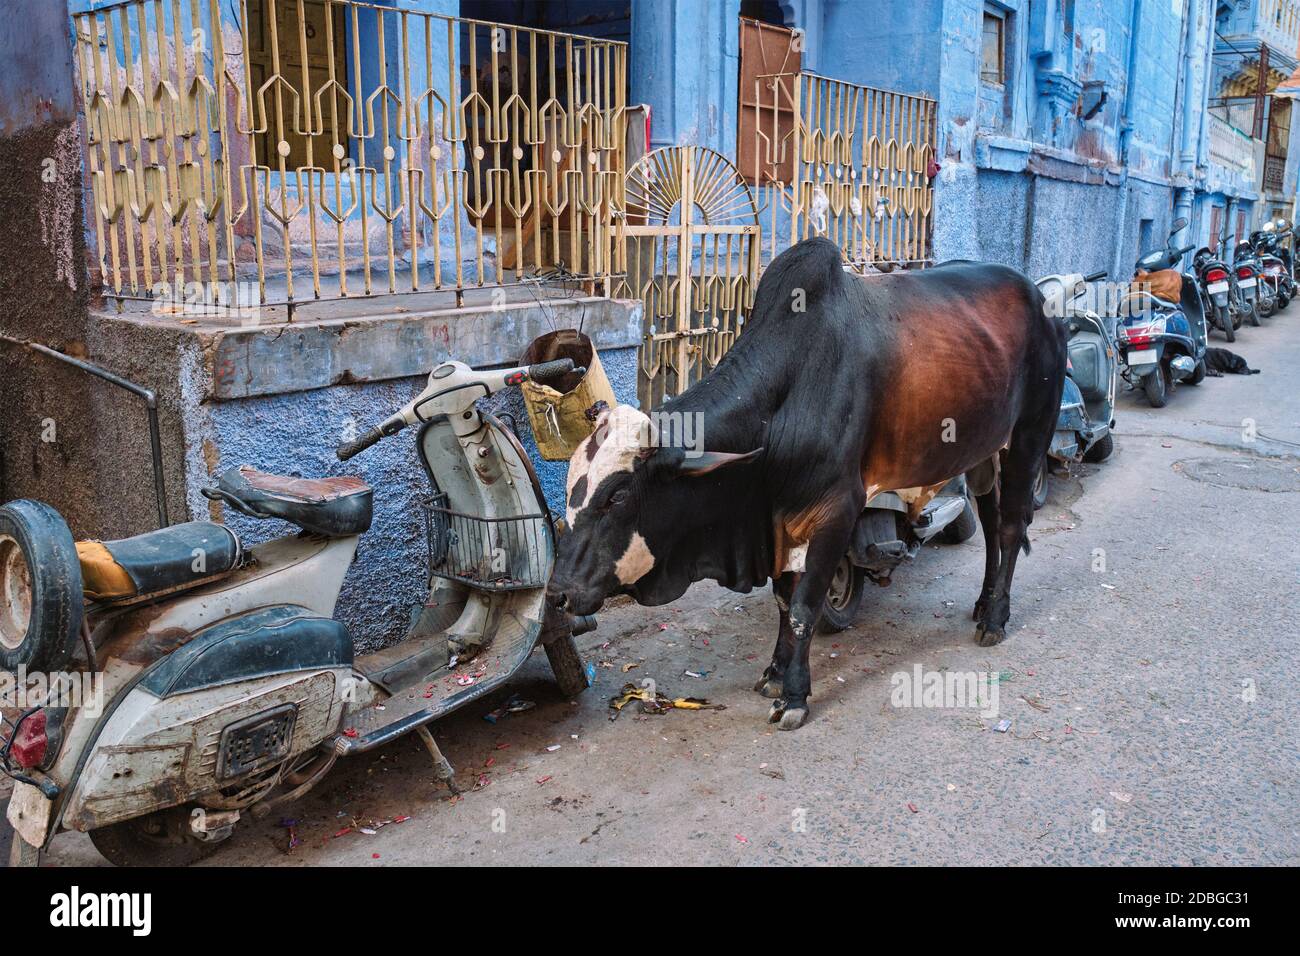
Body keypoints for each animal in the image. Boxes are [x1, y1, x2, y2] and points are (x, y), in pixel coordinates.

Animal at [548, 237, 1066, 731]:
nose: (557, 595)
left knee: (1011, 527)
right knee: (993, 521)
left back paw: (995, 619)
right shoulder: (779, 518)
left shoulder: (836, 510)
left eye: (617, 496)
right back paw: (982, 604)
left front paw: (794, 696)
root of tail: (1040, 297)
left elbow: (803, 606)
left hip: (1029, 434)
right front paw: (775, 674)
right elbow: (783, 599)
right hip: (983, 450)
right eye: (571, 494)